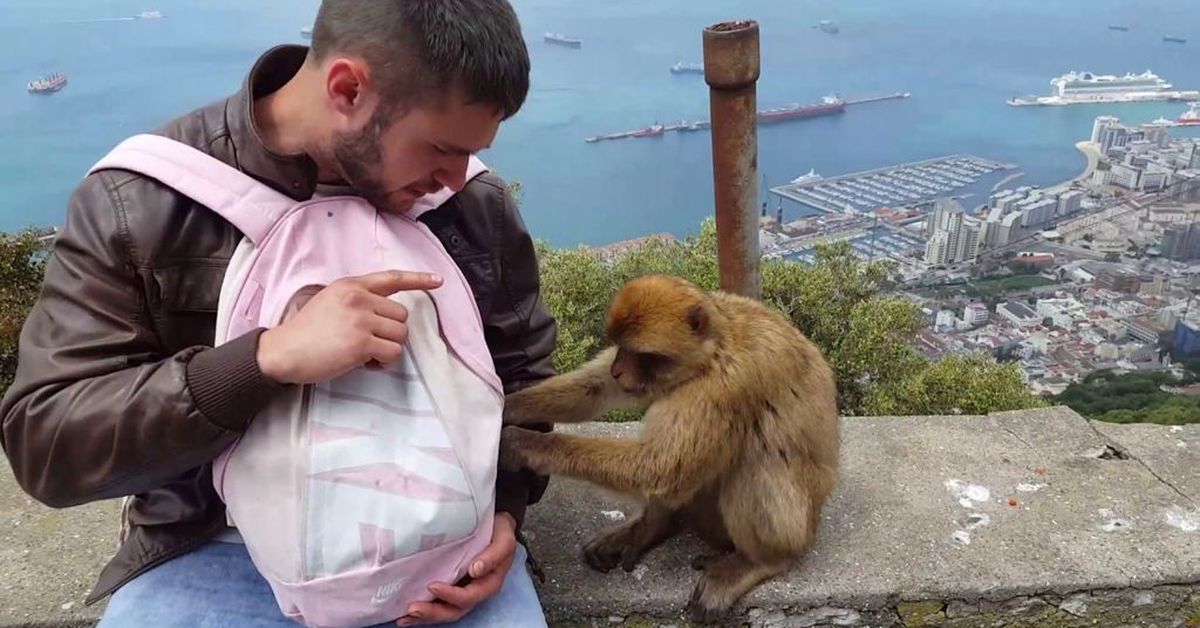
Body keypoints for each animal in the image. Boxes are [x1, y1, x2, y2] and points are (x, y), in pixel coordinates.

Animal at [498, 273, 840, 624]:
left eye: (641, 354)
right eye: (620, 347)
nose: (618, 369)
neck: (713, 352)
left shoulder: (723, 386)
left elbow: (662, 467)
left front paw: (524, 443)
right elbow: (593, 390)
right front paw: (505, 406)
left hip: (792, 526)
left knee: (752, 459)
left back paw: (761, 561)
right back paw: (652, 526)